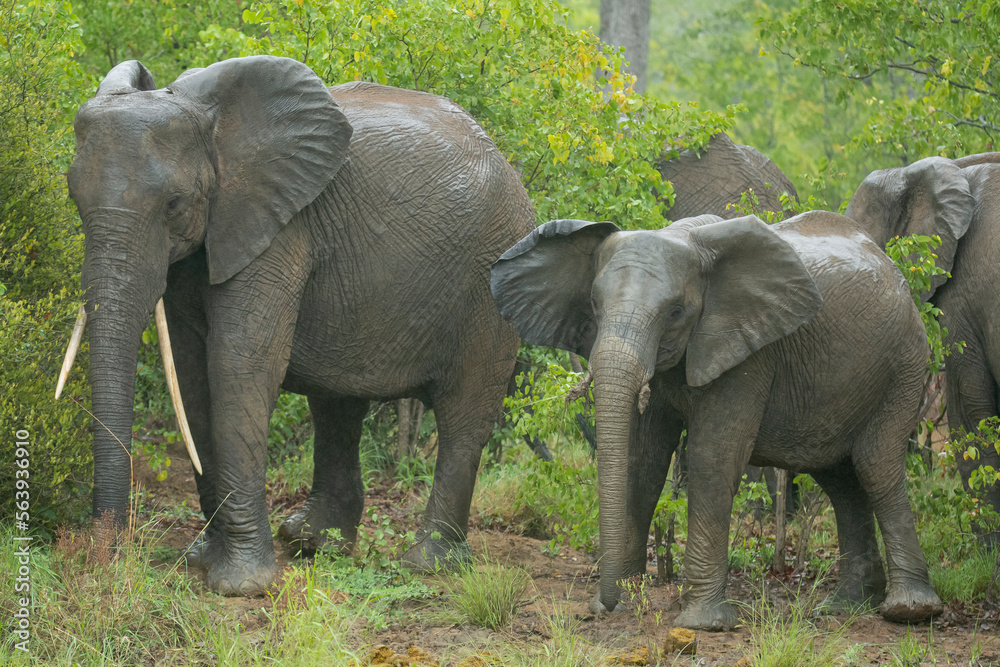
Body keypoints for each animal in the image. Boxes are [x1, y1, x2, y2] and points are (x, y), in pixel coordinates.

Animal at [61, 55, 534, 595]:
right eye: (73, 198)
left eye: (174, 205)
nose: (110, 557)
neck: (205, 116)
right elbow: (191, 375)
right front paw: (201, 560)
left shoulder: (279, 230)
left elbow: (238, 367)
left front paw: (241, 585)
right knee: (337, 407)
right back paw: (313, 543)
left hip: (489, 284)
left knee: (462, 418)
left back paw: (428, 564)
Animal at [491, 212, 942, 630]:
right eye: (595, 305)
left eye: (676, 311)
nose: (601, 606)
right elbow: (642, 460)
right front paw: (632, 599)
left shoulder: (748, 349)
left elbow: (714, 457)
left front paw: (702, 623)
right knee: (839, 478)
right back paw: (844, 608)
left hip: (905, 364)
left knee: (875, 464)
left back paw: (908, 611)